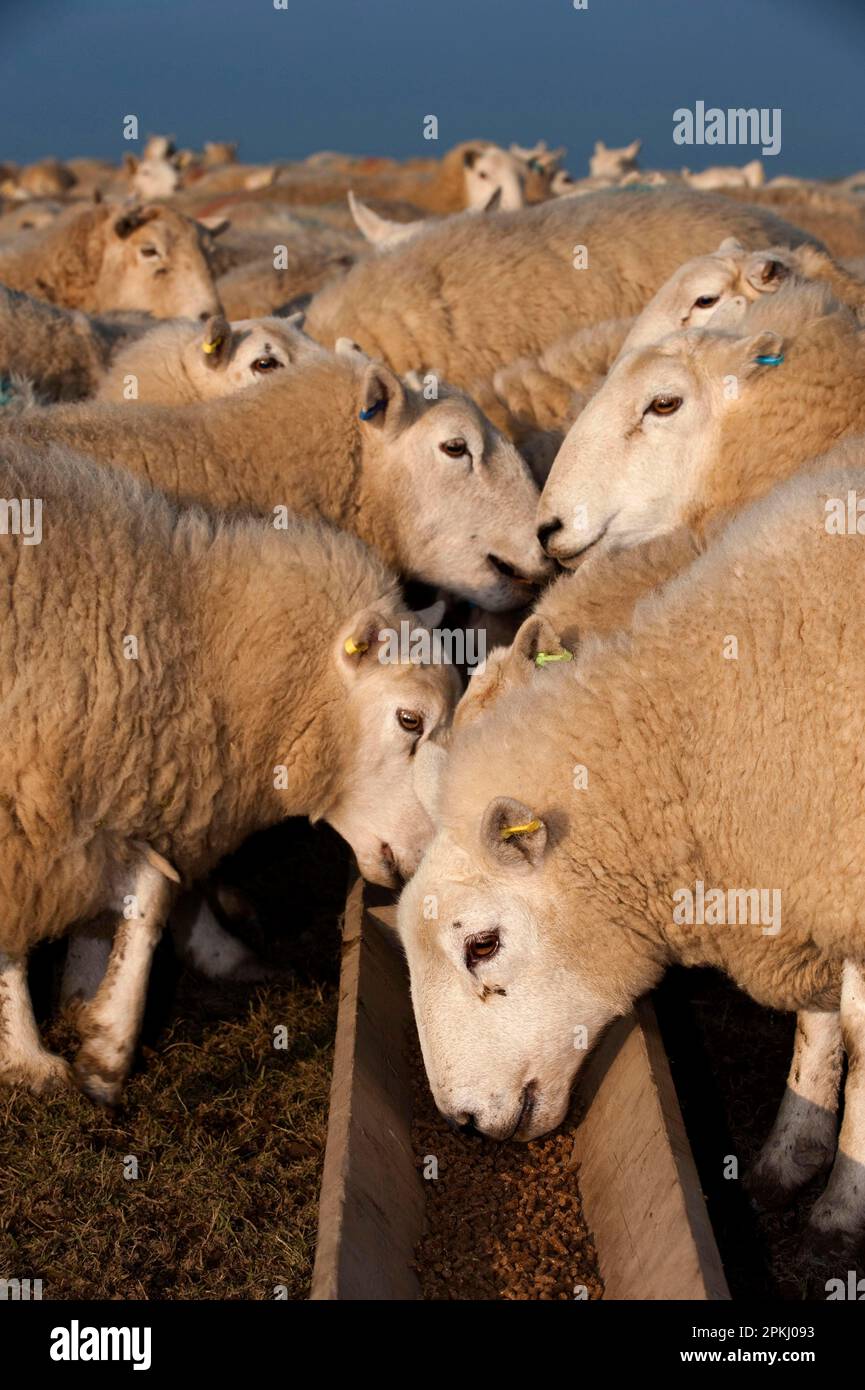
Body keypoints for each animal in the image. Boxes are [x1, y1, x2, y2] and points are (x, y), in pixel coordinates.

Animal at [0, 440, 459, 1101]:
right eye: (409, 719)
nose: (427, 862)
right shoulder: (28, 804)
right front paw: (35, 1057)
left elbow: (152, 888)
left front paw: (99, 1025)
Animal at [399, 455, 865, 1248]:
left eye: (482, 945)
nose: (462, 1121)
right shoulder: (802, 874)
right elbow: (820, 1018)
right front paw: (791, 1150)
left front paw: (843, 1205)